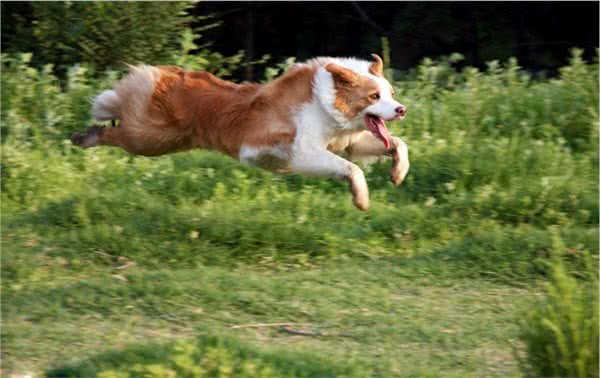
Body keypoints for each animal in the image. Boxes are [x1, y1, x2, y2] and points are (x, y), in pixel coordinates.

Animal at [70, 54, 408, 211]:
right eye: (374, 96)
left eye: (391, 93)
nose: (401, 109)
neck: (325, 102)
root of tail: (164, 76)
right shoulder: (302, 153)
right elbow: (351, 168)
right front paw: (361, 199)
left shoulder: (346, 142)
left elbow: (397, 144)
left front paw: (398, 173)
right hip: (150, 138)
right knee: (114, 130)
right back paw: (85, 136)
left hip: (161, 139)